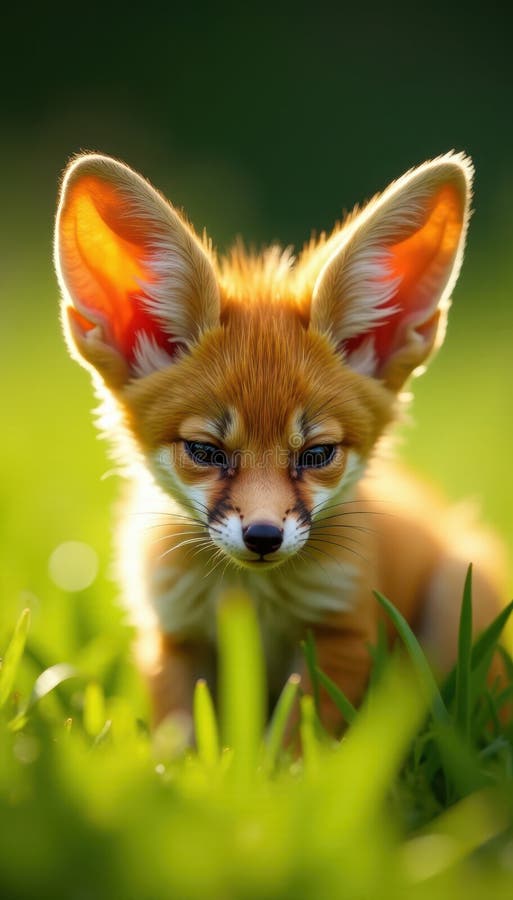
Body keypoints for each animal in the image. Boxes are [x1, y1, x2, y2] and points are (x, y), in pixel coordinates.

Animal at [54, 151, 507, 735]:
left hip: (457, 598)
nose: (264, 536)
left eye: (316, 455)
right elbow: (183, 735)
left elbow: (301, 741)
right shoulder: (172, 636)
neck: (253, 601)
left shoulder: (339, 631)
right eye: (206, 452)